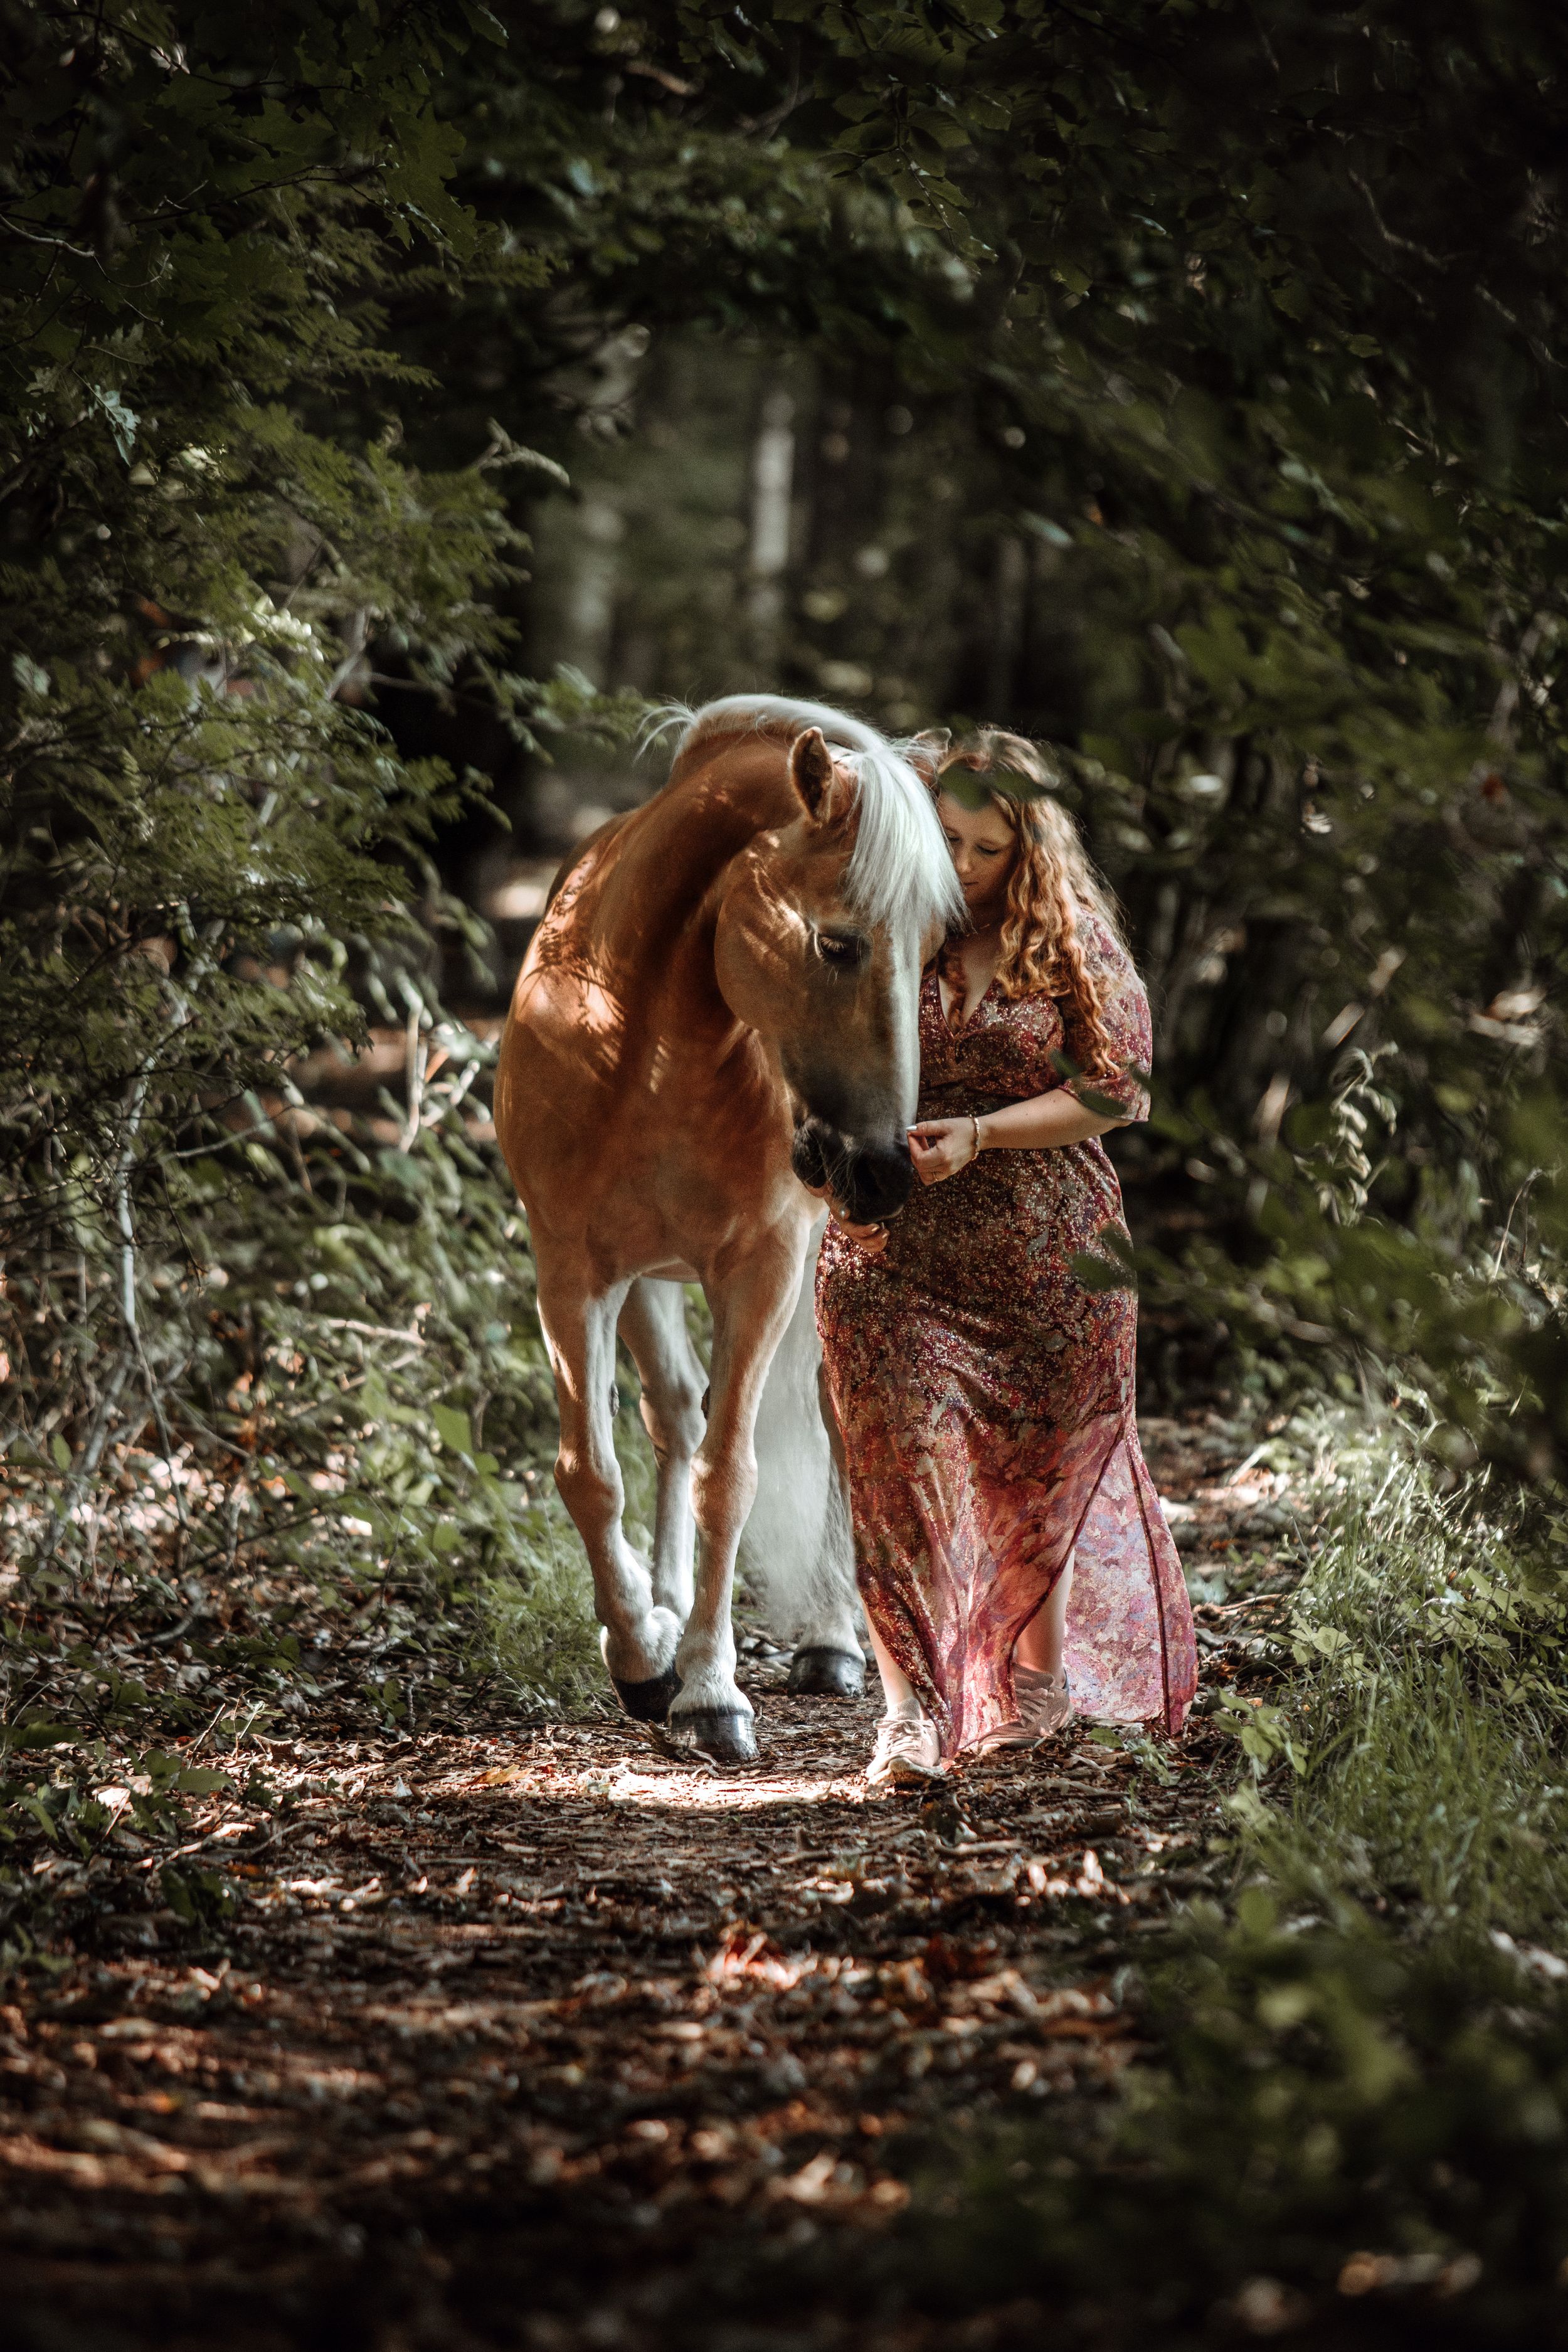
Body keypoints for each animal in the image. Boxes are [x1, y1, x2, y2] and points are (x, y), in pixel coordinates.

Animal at [493, 695, 961, 1761]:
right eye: (837, 942)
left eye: (929, 950)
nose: (884, 1172)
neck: (634, 1043)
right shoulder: (573, 1268)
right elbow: (594, 1471)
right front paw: (642, 1652)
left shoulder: (761, 1269)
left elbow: (730, 1474)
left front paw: (711, 1690)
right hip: (646, 1280)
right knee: (672, 1412)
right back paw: (662, 1601)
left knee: (819, 1428)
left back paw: (831, 1638)